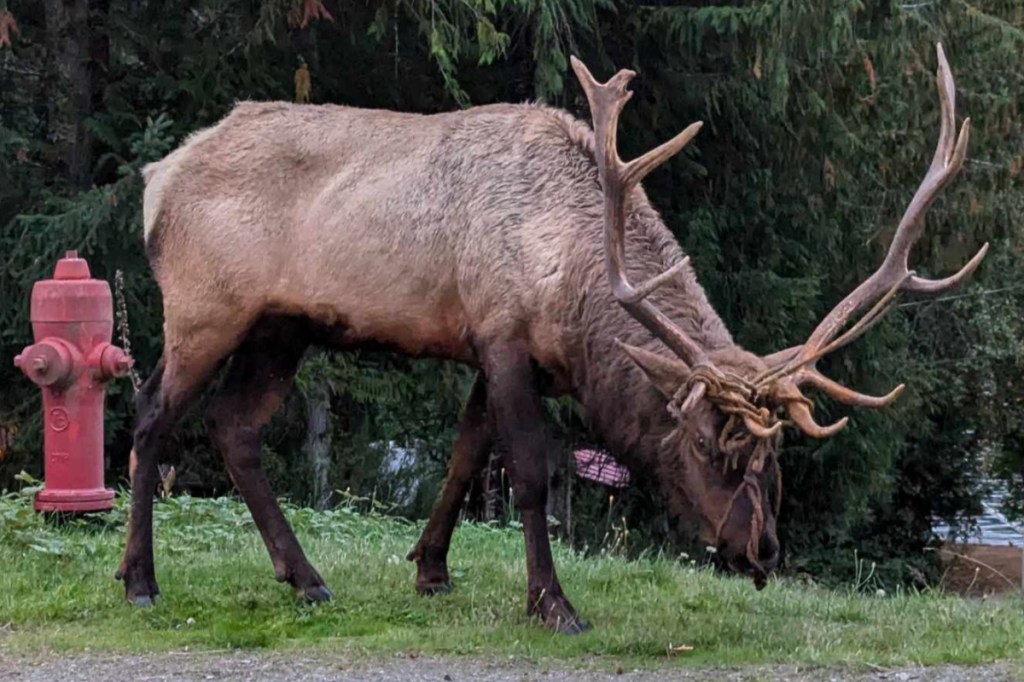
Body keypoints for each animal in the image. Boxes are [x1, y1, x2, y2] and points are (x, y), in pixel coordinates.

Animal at [119, 43, 985, 634]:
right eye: (709, 446)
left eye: (774, 455)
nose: (761, 551)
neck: (573, 288)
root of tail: (157, 178)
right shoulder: (503, 337)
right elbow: (530, 473)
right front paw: (552, 602)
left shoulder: (489, 348)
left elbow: (466, 457)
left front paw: (431, 571)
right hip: (202, 307)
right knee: (152, 416)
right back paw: (140, 581)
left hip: (280, 327)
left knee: (235, 427)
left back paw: (304, 577)